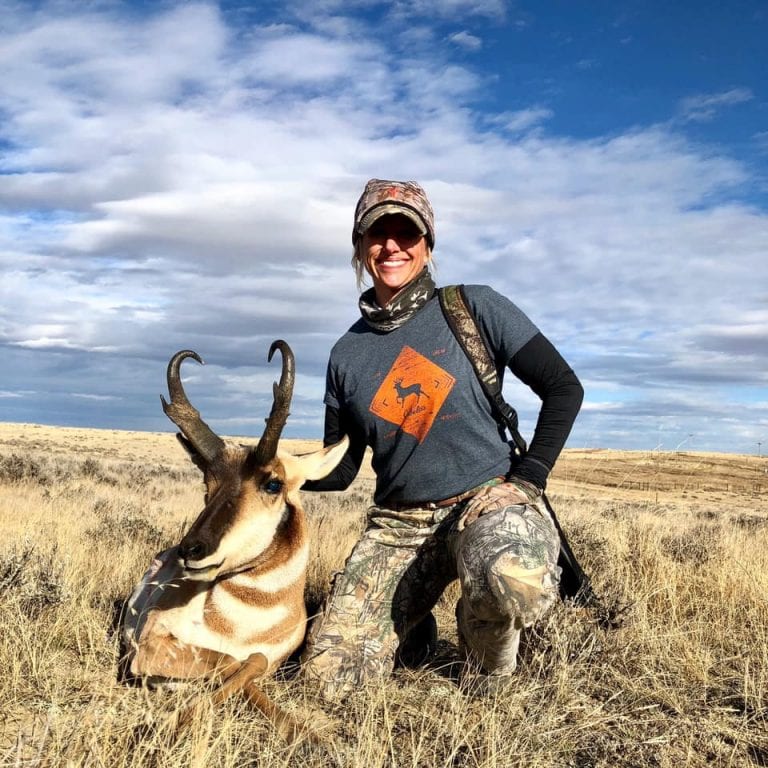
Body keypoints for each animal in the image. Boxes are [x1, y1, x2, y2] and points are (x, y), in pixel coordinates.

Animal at [120, 342, 348, 741]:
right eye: (207, 483)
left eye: (273, 483)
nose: (190, 550)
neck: (245, 619)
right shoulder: (150, 647)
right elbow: (232, 660)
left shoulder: (268, 662)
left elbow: (252, 663)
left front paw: (303, 732)